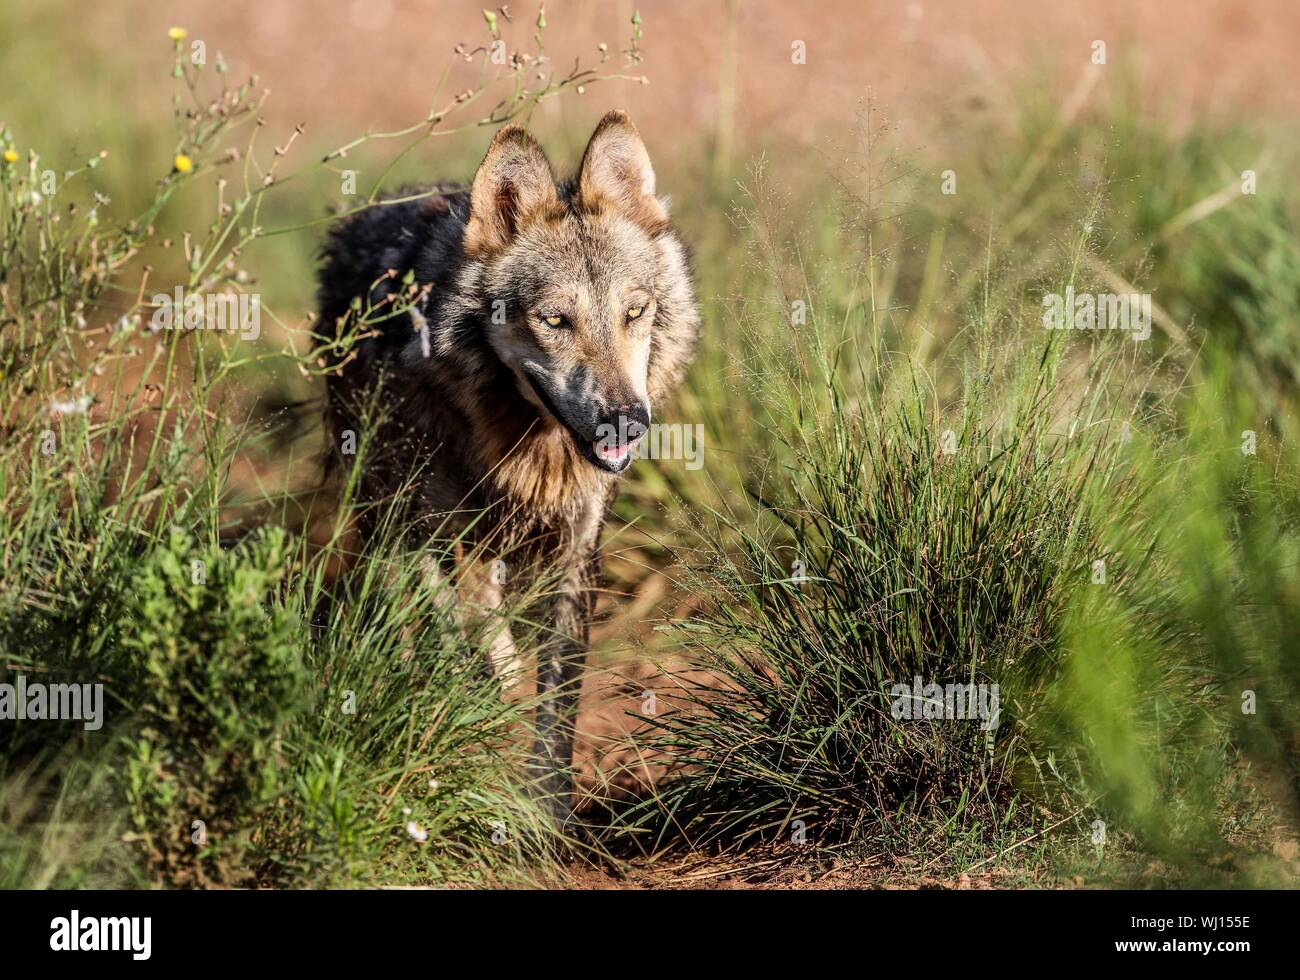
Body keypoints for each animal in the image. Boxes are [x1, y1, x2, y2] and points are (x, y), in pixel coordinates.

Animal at [316, 111, 699, 826]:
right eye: (555, 319)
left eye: (633, 312)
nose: (626, 422)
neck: (528, 451)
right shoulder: (452, 539)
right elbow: (489, 652)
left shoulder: (578, 549)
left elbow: (558, 702)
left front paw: (548, 815)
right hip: (392, 519)